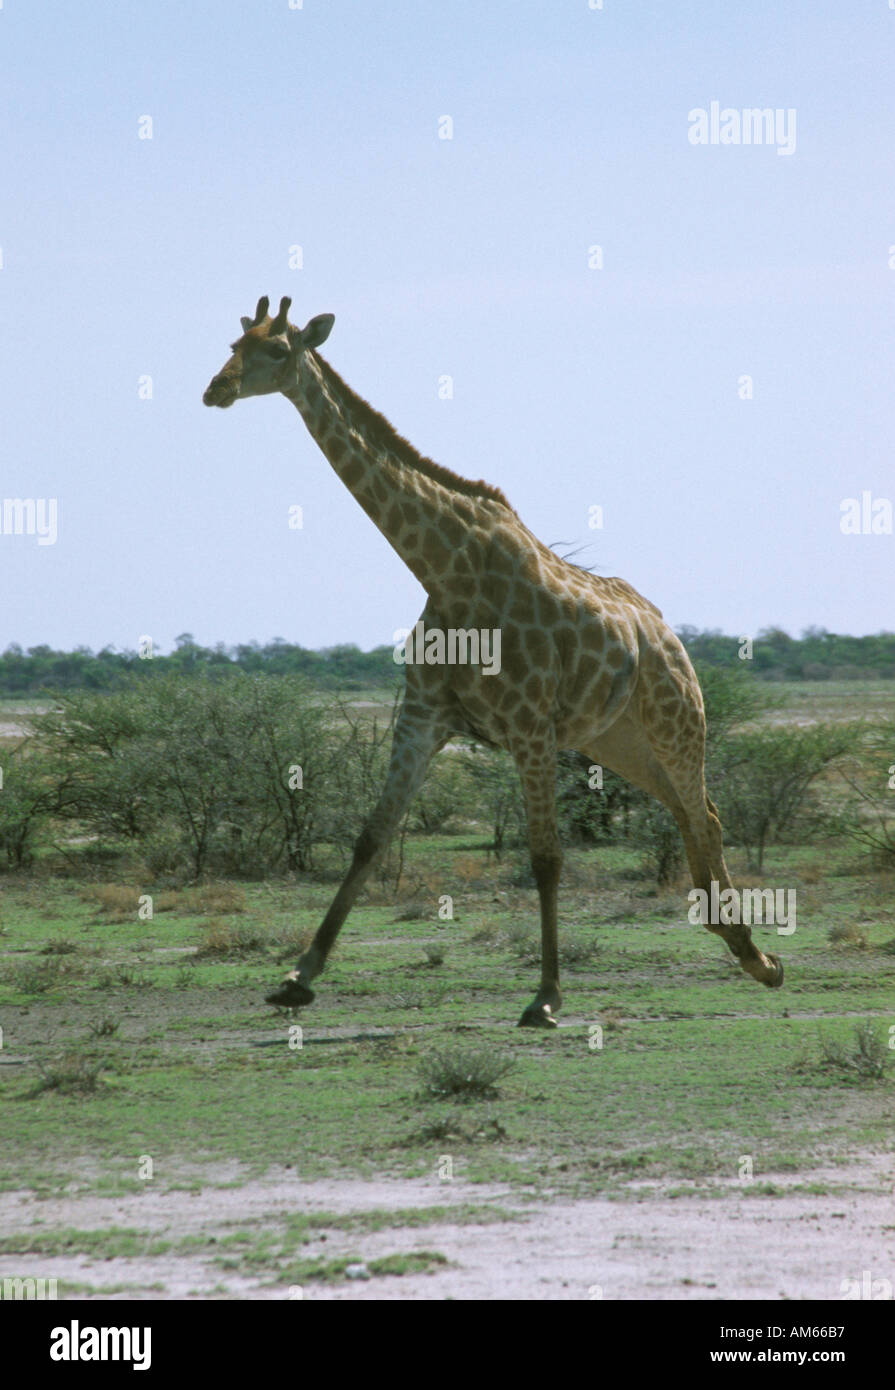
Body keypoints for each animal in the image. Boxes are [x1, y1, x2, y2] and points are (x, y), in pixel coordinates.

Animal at [203, 296, 784, 1028]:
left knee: (703, 812)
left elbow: (545, 858)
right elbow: (370, 836)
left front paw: (546, 996)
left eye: (276, 351)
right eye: (232, 344)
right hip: (617, 740)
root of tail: (665, 632)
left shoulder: (529, 729)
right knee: (690, 810)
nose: (215, 389)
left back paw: (756, 956)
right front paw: (297, 976)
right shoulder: (423, 716)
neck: (445, 568)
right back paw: (739, 944)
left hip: (677, 722)